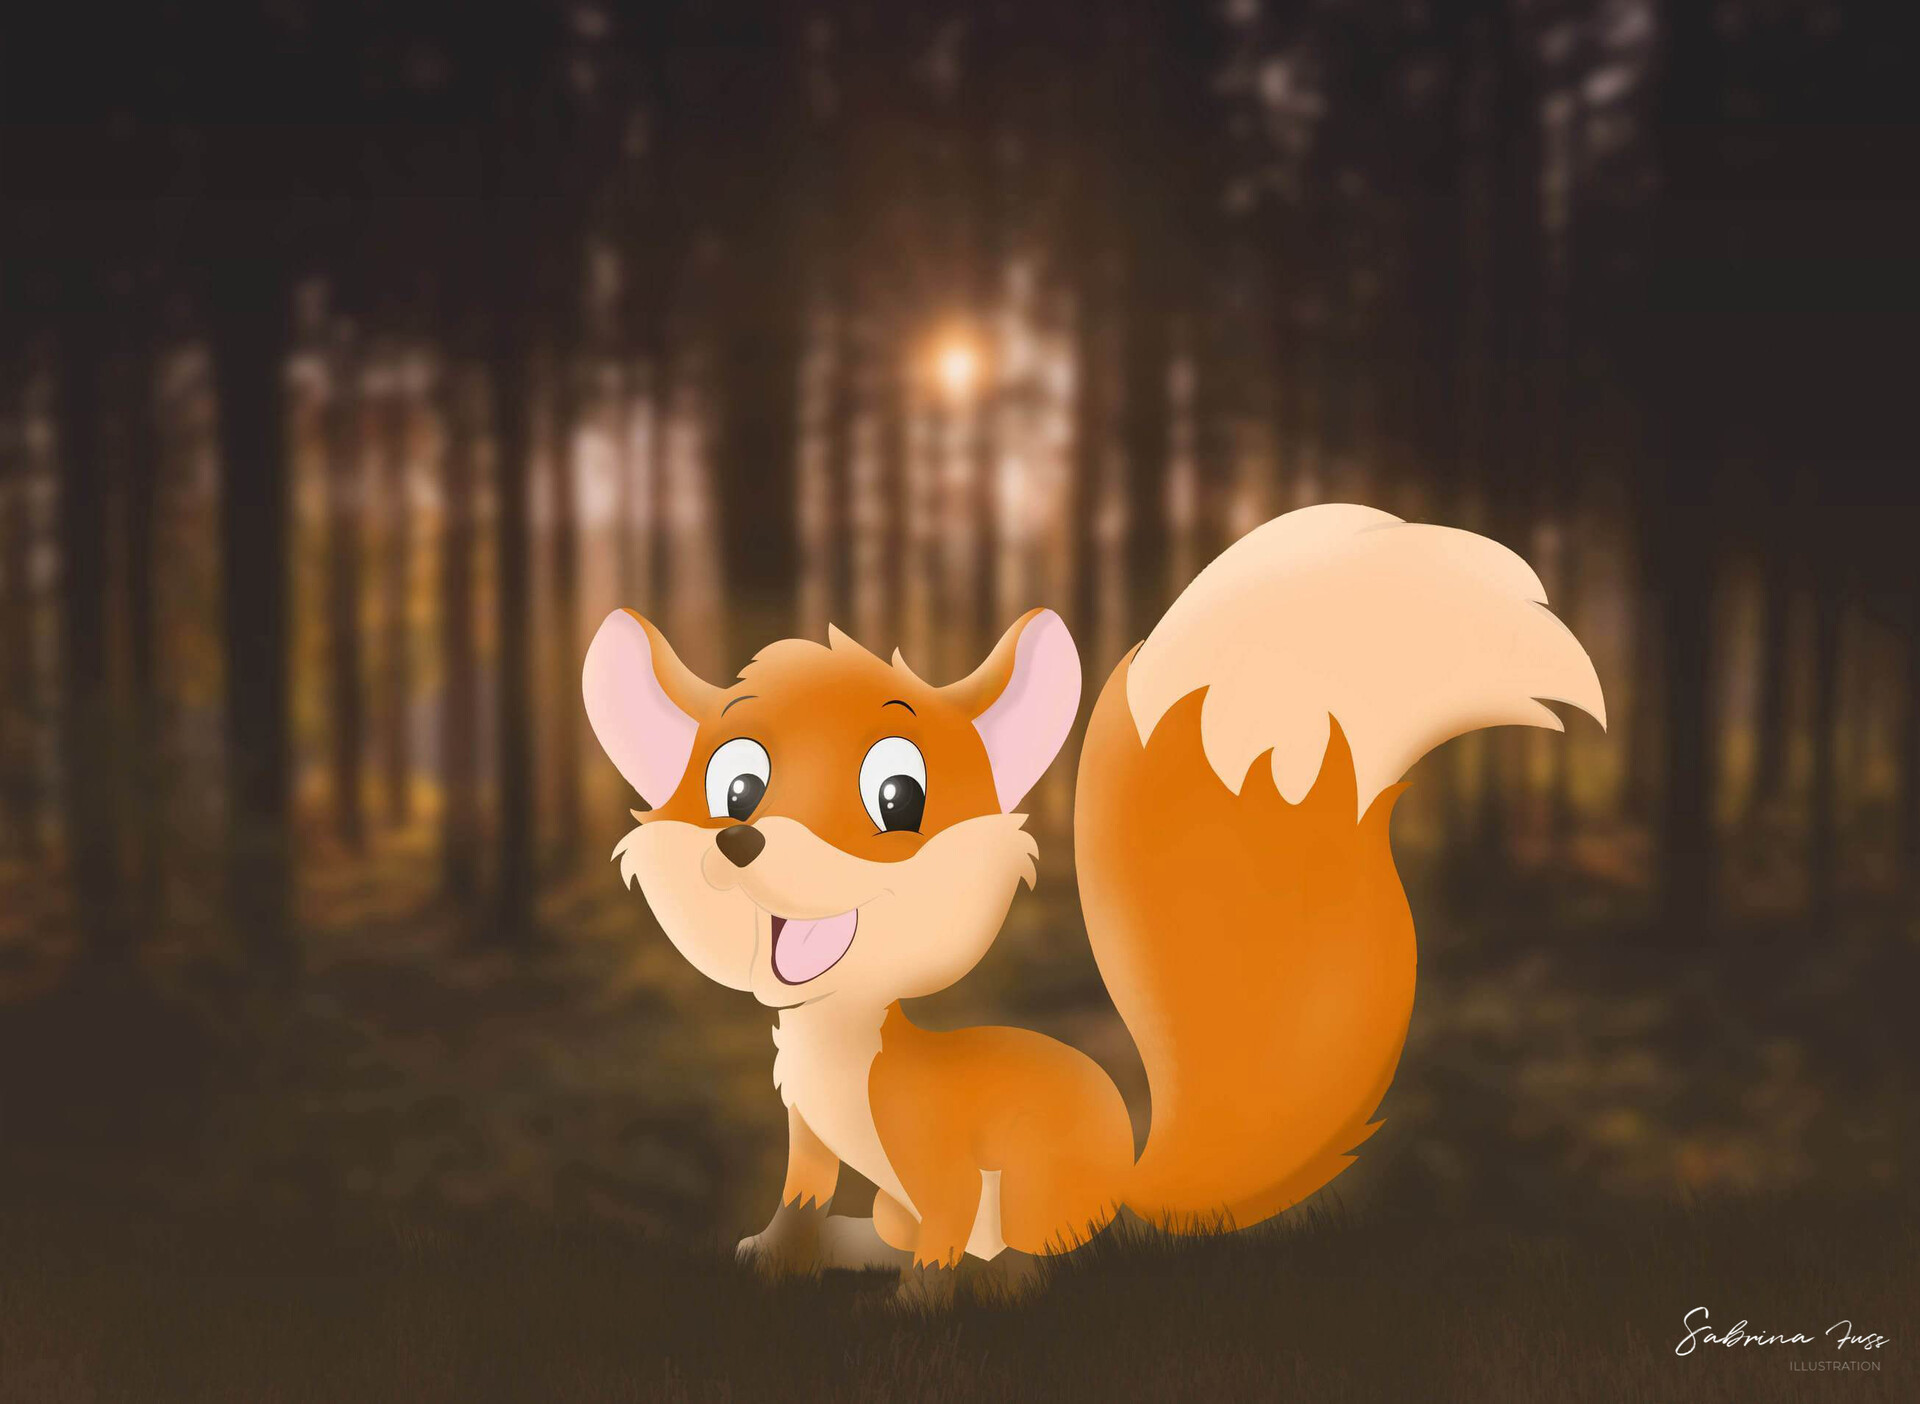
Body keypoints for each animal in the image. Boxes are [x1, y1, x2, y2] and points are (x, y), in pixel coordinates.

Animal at [581, 502, 1604, 1304]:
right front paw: (774, 1254)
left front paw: (920, 1306)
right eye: (737, 788)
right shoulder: (806, 1137)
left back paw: (993, 1278)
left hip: (1034, 1189)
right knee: (893, 1230)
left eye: (898, 798)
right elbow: (798, 1202)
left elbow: (944, 1224)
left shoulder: (939, 1155)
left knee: (1028, 1255)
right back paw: (860, 1249)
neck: (843, 1044)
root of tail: (1126, 1183)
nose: (739, 841)